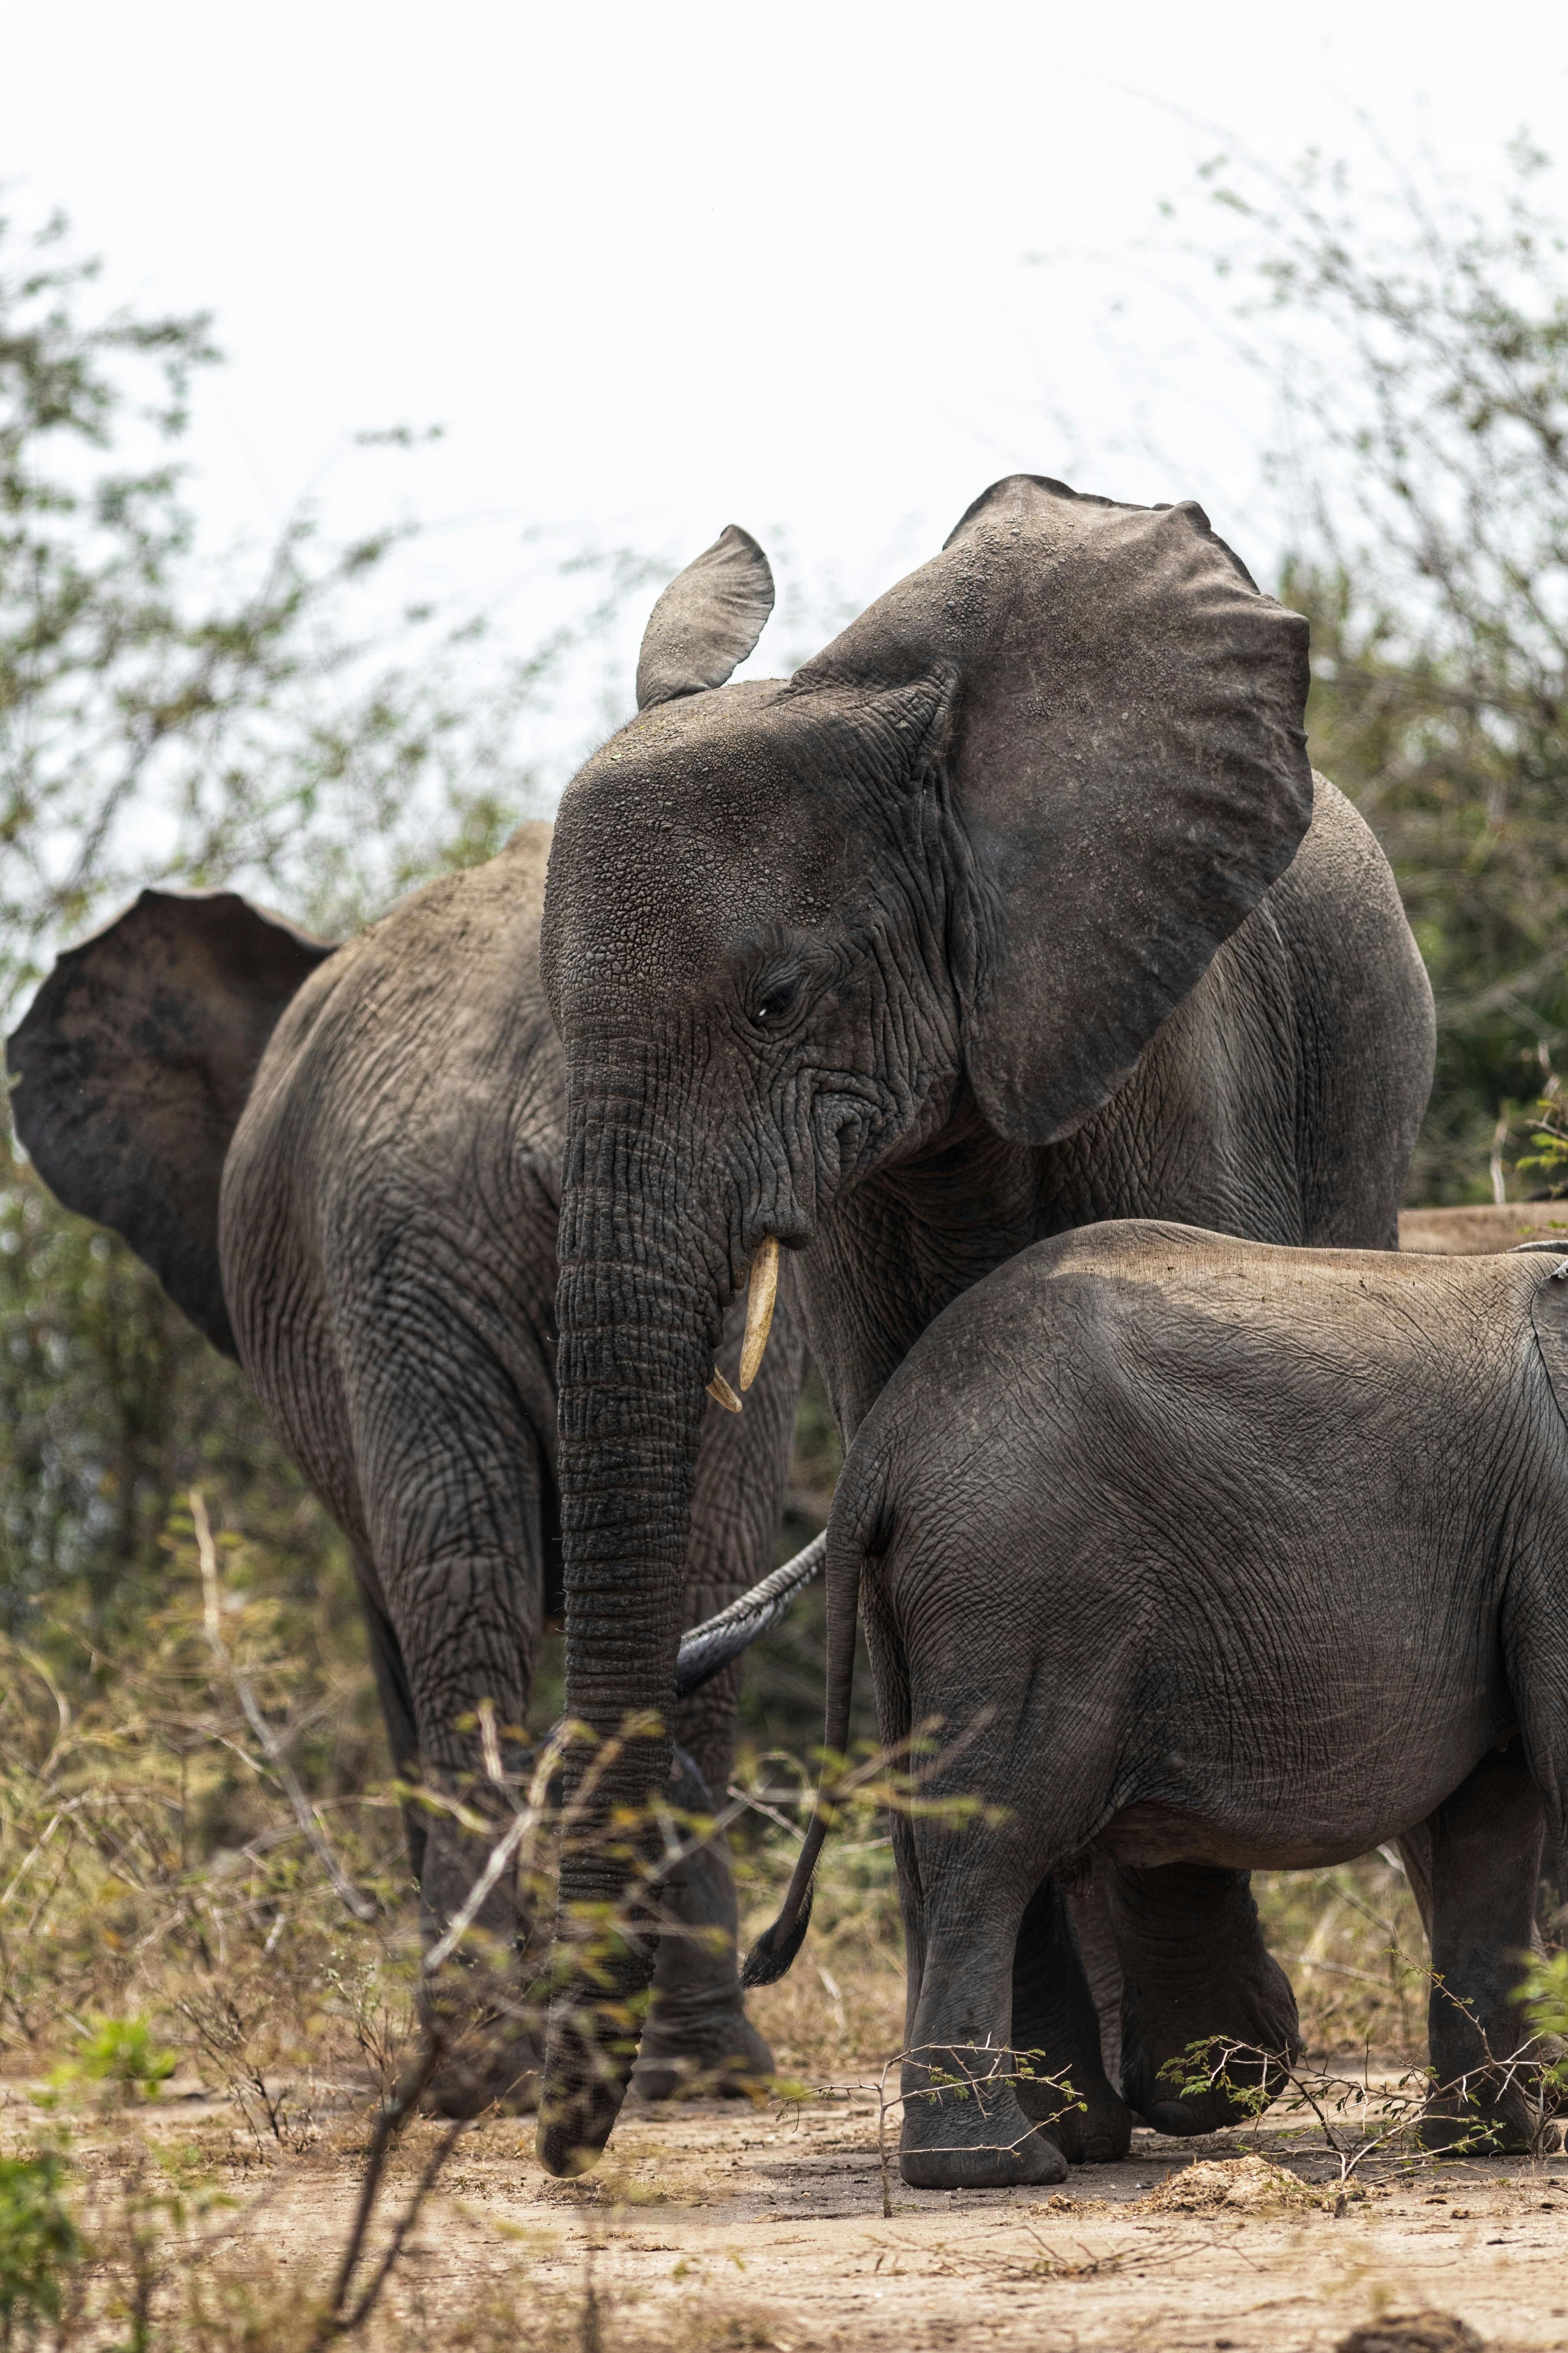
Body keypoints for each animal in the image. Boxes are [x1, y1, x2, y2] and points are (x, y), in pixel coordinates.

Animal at [747, 1220, 1568, 2185]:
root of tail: (875, 1453)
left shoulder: (1513, 1544)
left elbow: (1489, 1817)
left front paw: (1494, 2143)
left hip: (932, 1607)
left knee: (954, 1846)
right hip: (1025, 1582)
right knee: (991, 1850)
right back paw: (999, 2163)